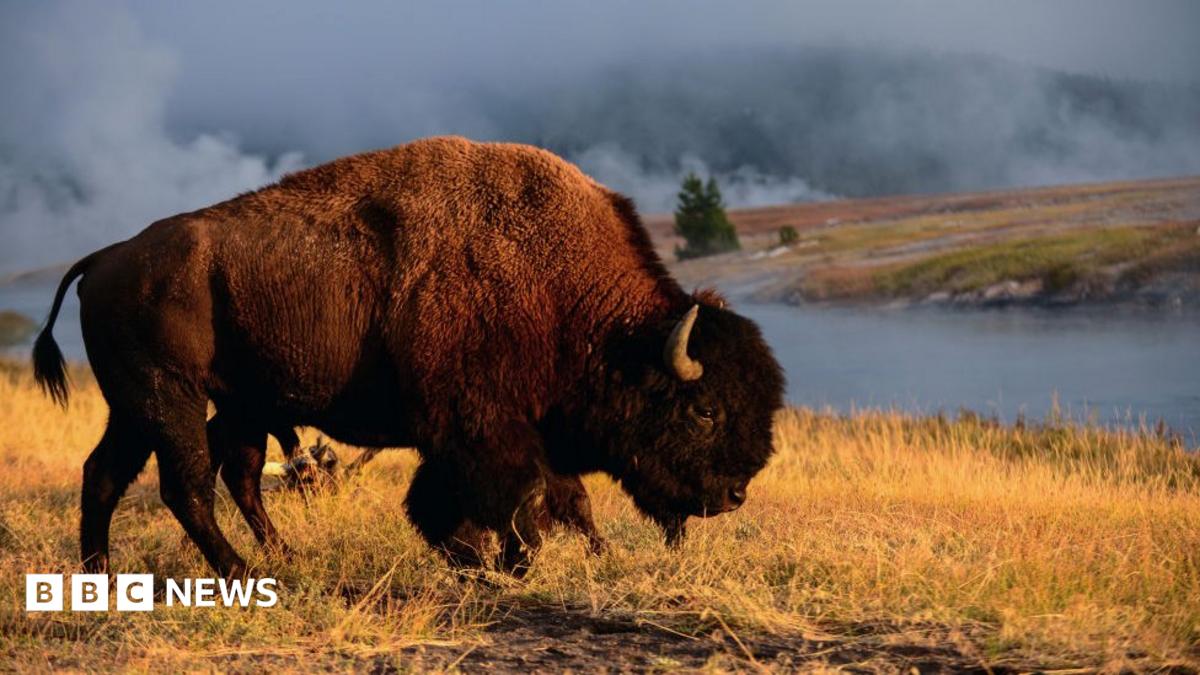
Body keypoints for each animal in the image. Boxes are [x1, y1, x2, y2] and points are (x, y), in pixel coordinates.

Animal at [34, 136, 784, 578]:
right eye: (706, 410)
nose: (735, 494)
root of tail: (106, 256)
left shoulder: (507, 428)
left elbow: (557, 497)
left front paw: (535, 559)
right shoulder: (479, 426)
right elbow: (521, 498)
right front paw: (502, 562)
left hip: (166, 405)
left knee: (121, 473)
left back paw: (114, 574)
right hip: (171, 396)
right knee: (185, 483)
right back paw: (246, 573)